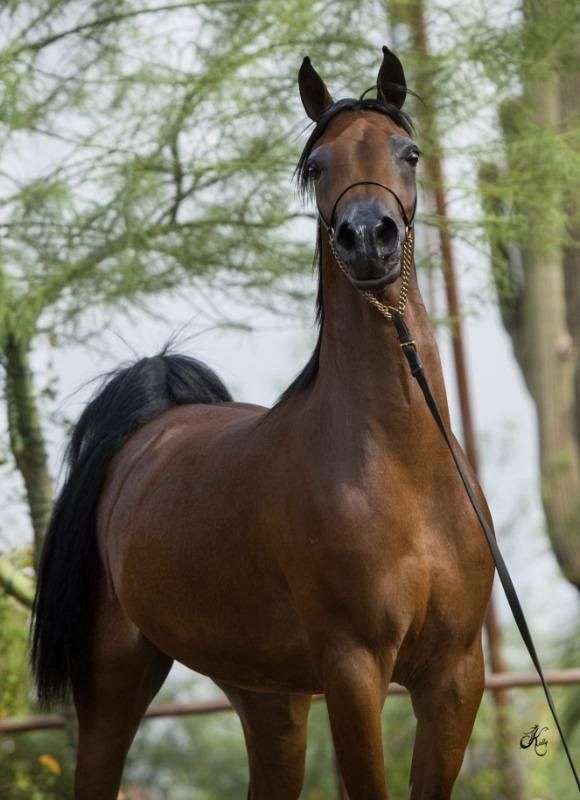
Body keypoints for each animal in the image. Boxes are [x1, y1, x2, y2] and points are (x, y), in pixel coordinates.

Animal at [32, 46, 494, 800]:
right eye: (317, 164)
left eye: (410, 153)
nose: (367, 238)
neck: (401, 469)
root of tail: (150, 427)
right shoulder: (353, 671)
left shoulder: (455, 677)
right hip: (116, 679)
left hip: (267, 694)